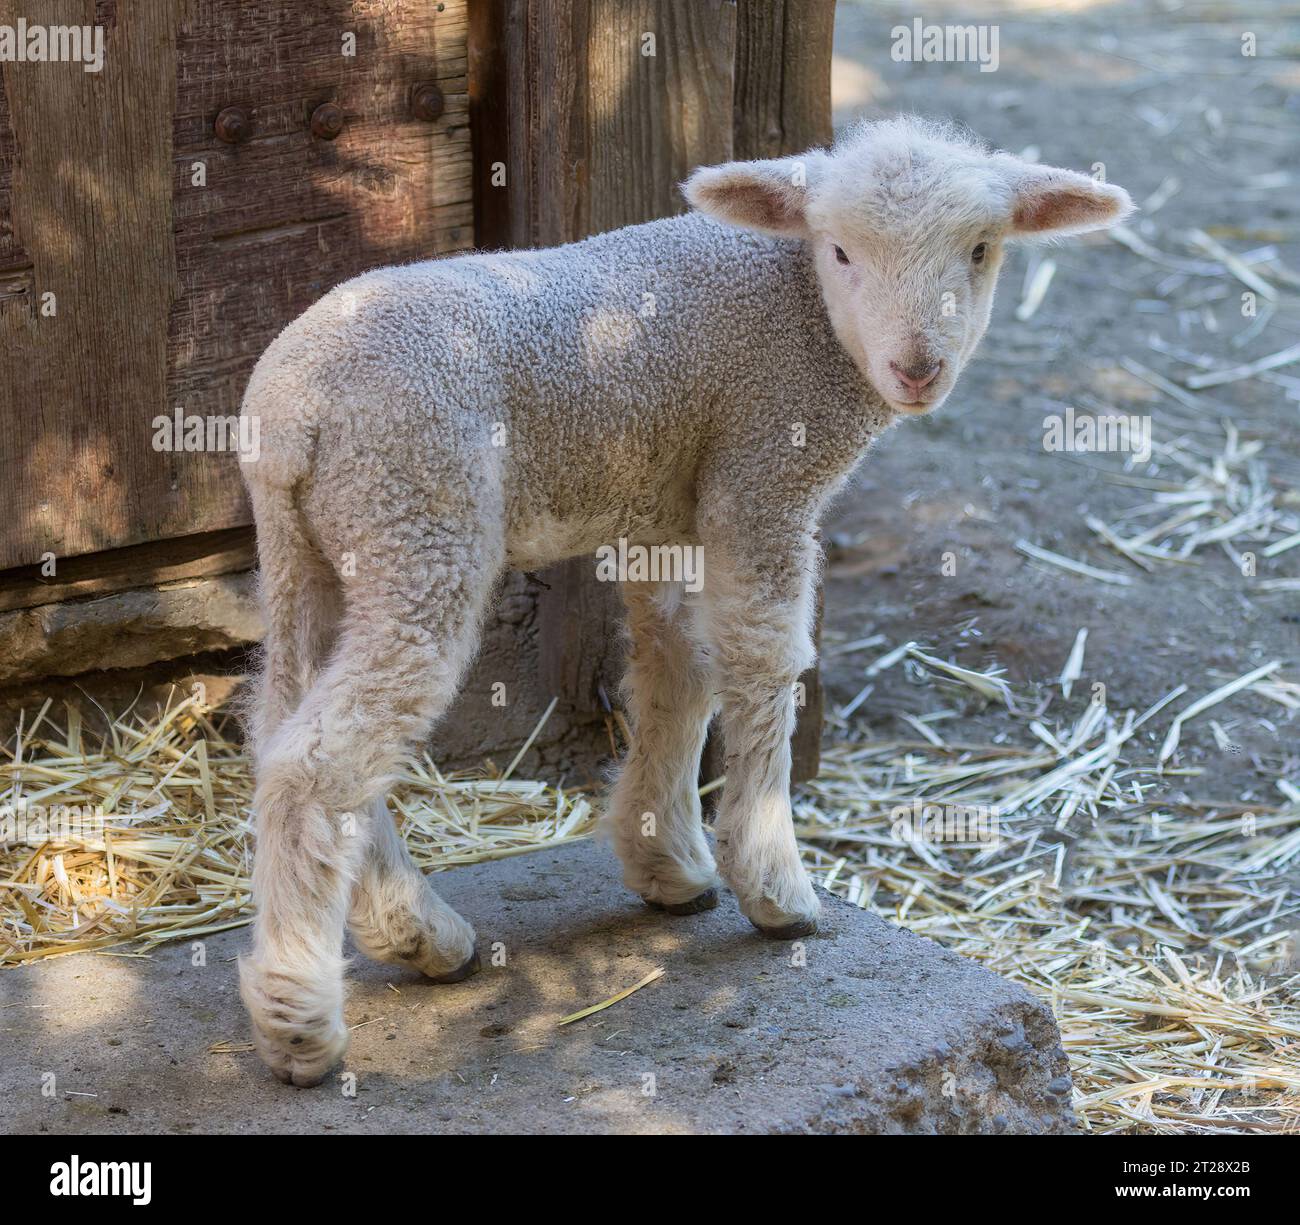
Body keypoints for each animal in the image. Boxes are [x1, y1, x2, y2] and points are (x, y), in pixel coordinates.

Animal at [236, 116, 1133, 1085]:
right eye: (841, 251)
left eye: (980, 251)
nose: (918, 369)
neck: (800, 304)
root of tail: (291, 408)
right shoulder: (763, 473)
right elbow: (763, 659)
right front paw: (773, 884)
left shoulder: (669, 501)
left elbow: (678, 665)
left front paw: (666, 860)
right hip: (416, 513)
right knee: (318, 762)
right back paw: (300, 1021)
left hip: (313, 547)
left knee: (282, 726)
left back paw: (416, 932)